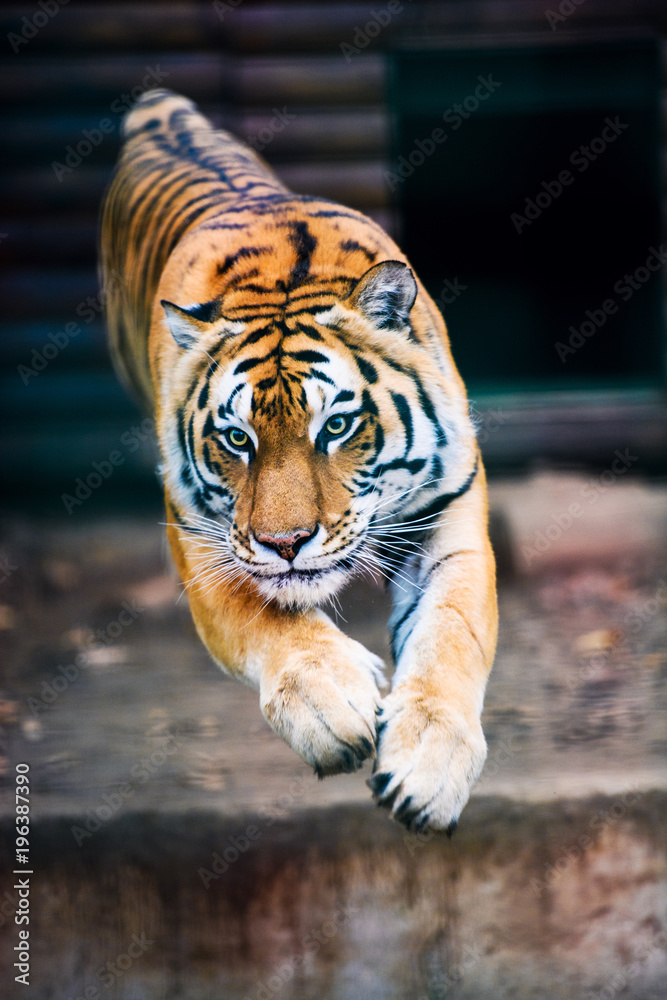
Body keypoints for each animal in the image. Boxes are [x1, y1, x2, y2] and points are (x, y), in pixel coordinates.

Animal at [100, 89, 498, 834]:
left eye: (336, 426)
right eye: (236, 440)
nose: (285, 543)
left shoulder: (451, 518)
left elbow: (451, 634)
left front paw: (427, 770)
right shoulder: (202, 540)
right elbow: (269, 618)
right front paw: (331, 707)